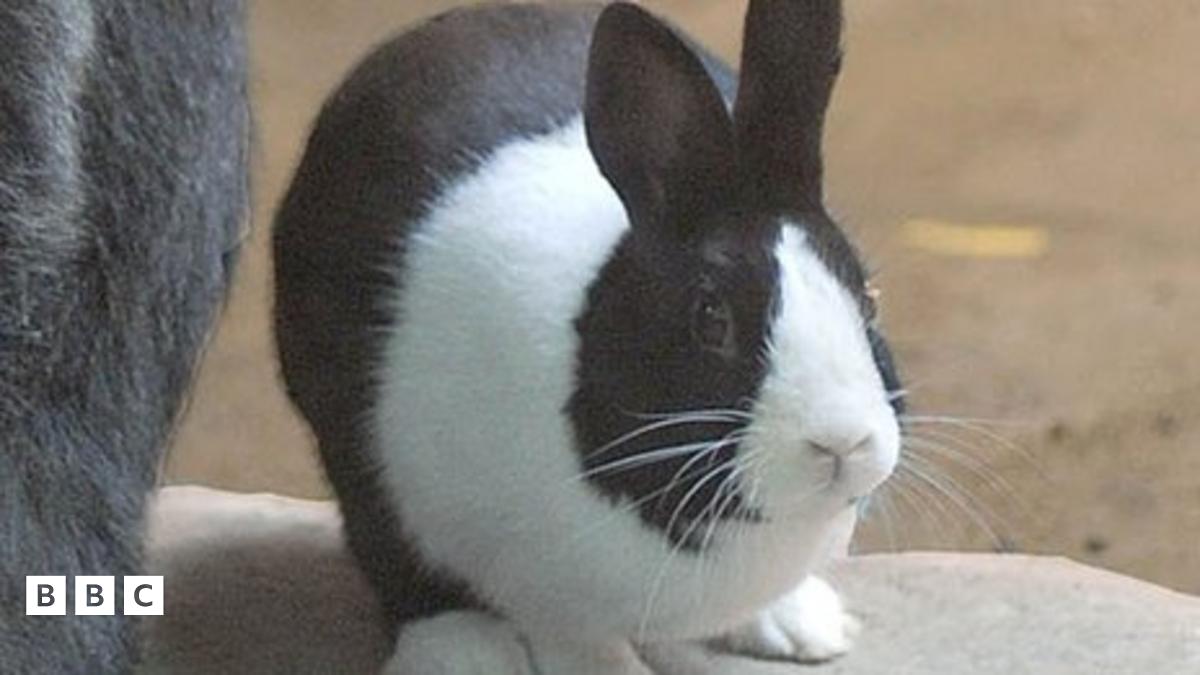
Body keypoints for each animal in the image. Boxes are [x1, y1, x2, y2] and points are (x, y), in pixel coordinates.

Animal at [274, 1, 904, 673]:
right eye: (711, 319)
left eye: (869, 299)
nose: (841, 442)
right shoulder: (535, 587)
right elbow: (570, 636)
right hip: (355, 442)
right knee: (388, 551)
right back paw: (463, 653)